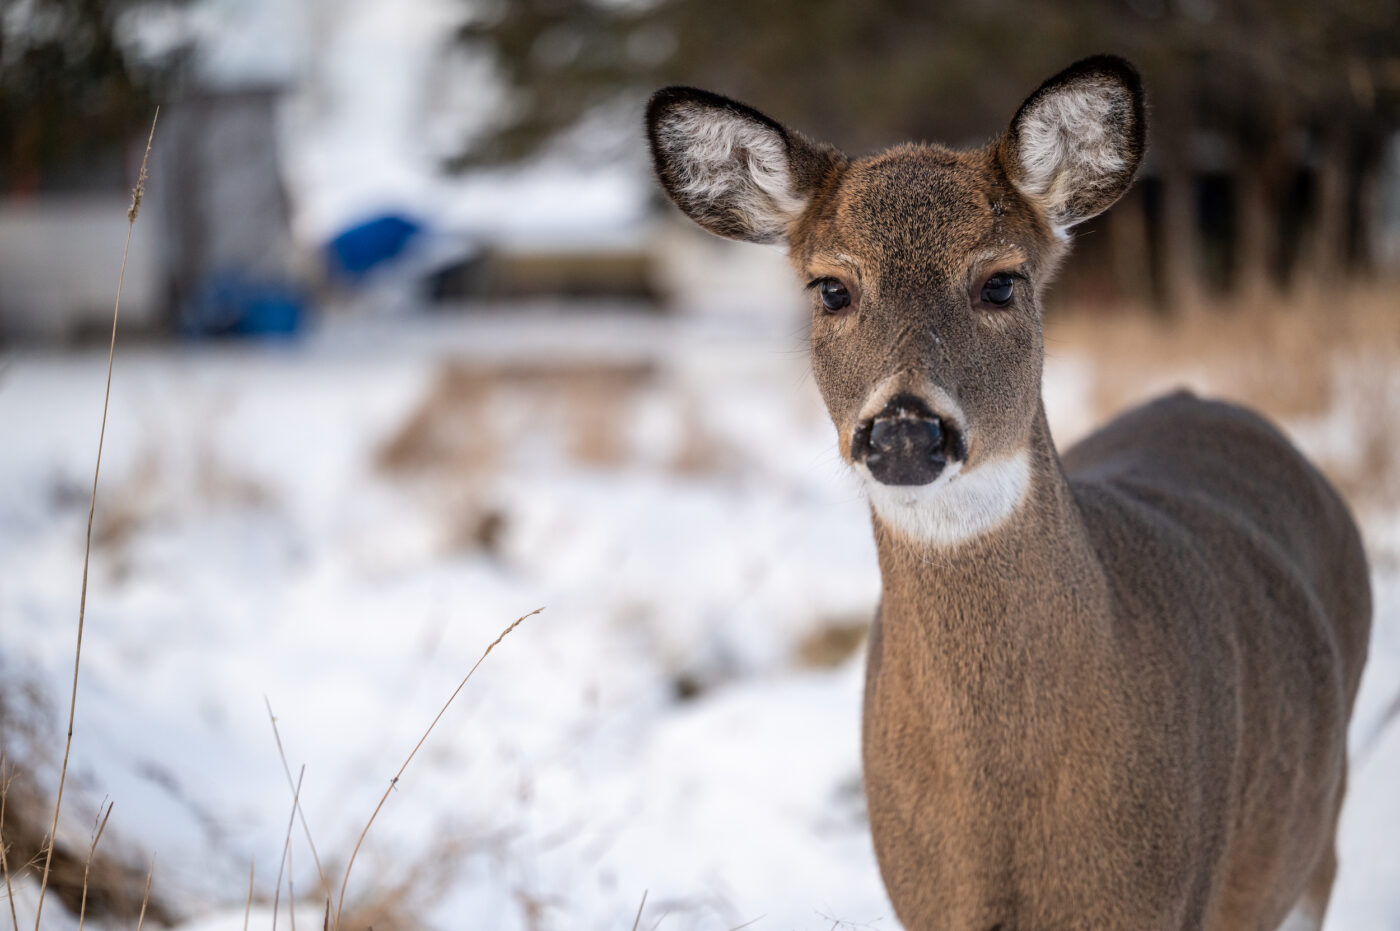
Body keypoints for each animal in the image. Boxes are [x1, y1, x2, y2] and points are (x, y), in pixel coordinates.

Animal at [645, 56, 1372, 930]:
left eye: (1000, 282)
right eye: (830, 288)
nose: (904, 429)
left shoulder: (1161, 894)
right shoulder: (926, 899)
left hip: (1315, 829)